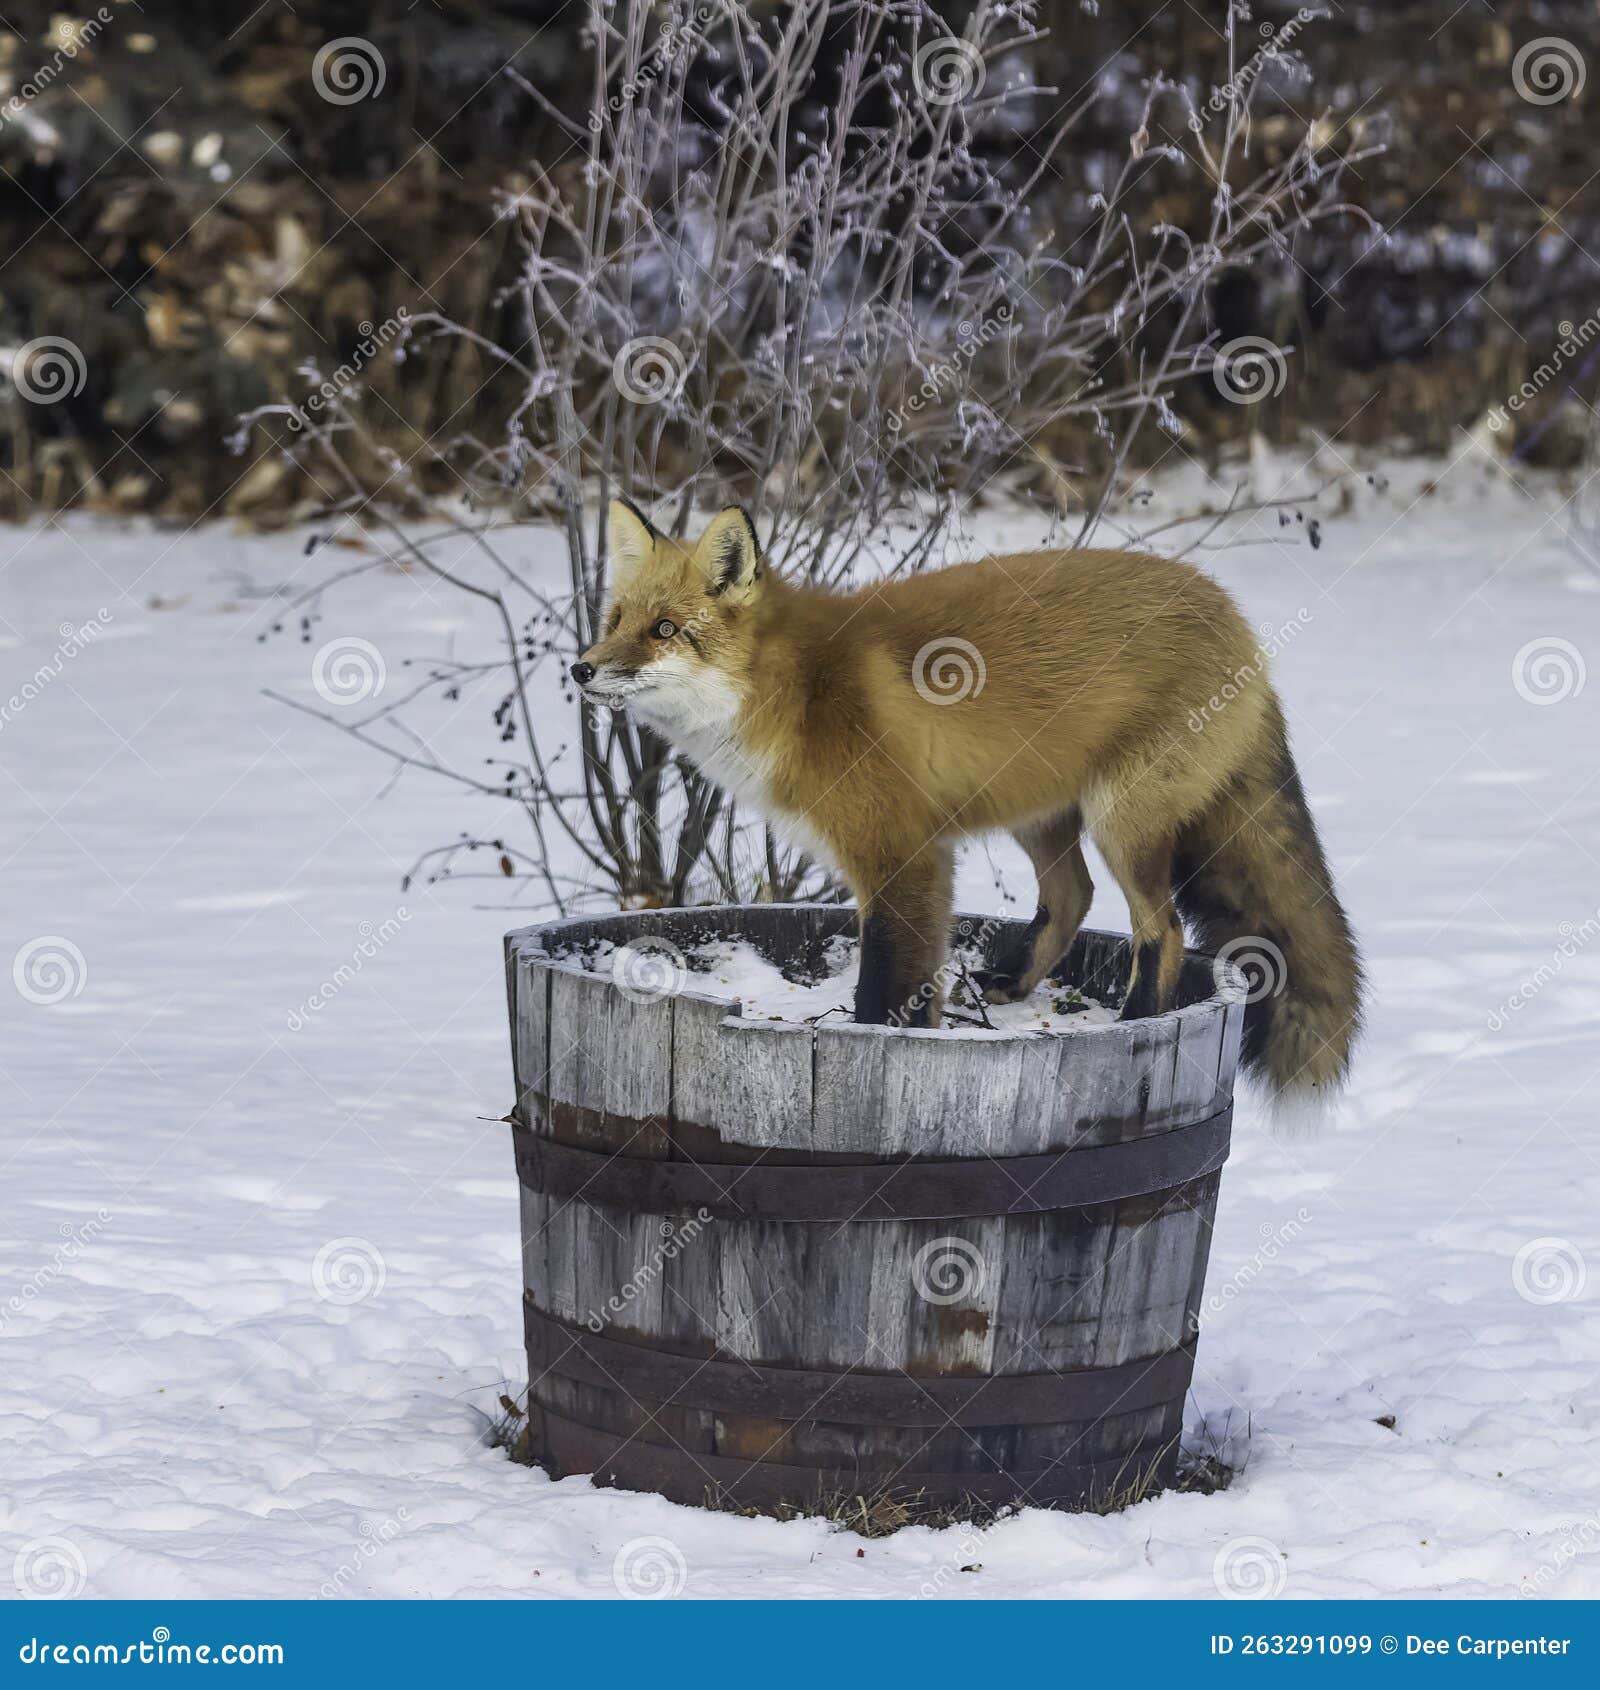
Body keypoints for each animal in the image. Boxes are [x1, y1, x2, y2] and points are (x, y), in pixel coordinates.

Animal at [572, 499, 1364, 1102]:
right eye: (614, 620)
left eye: (665, 630)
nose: (581, 669)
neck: (798, 691)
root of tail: (1236, 617)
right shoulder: (913, 855)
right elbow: (914, 980)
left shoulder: (902, 853)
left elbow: (886, 984)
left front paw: (877, 1044)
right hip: (1041, 815)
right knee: (1071, 897)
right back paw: (1011, 984)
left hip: (1122, 823)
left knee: (1161, 929)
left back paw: (1135, 1022)